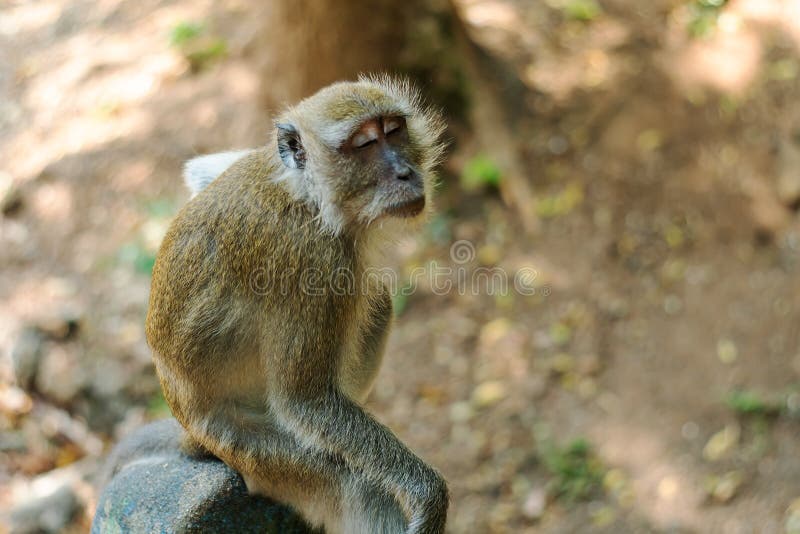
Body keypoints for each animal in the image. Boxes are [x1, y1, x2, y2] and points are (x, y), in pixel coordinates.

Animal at [145, 75, 448, 534]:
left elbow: (200, 172)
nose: (406, 172)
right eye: (365, 143)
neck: (310, 197)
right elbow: (307, 401)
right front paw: (427, 493)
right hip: (250, 446)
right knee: (355, 485)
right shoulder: (312, 263)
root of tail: (187, 416)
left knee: (376, 301)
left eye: (395, 130)